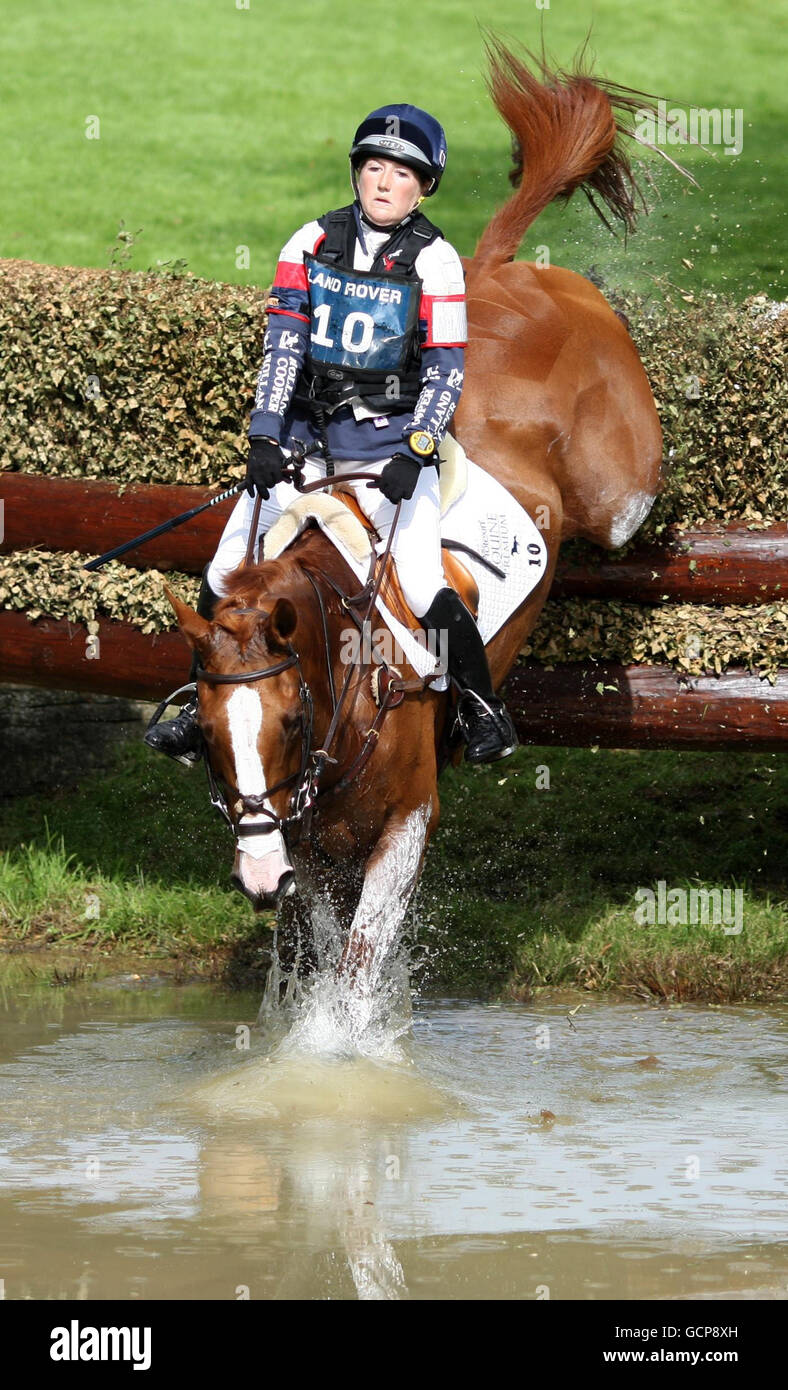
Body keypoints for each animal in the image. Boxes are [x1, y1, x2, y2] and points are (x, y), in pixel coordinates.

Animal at [166, 39, 686, 993]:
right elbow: (327, 946)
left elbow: (360, 966)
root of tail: (499, 272)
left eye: (288, 721)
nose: (255, 878)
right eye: (214, 733)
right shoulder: (309, 845)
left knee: (627, 505)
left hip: (621, 485)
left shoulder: (407, 822)